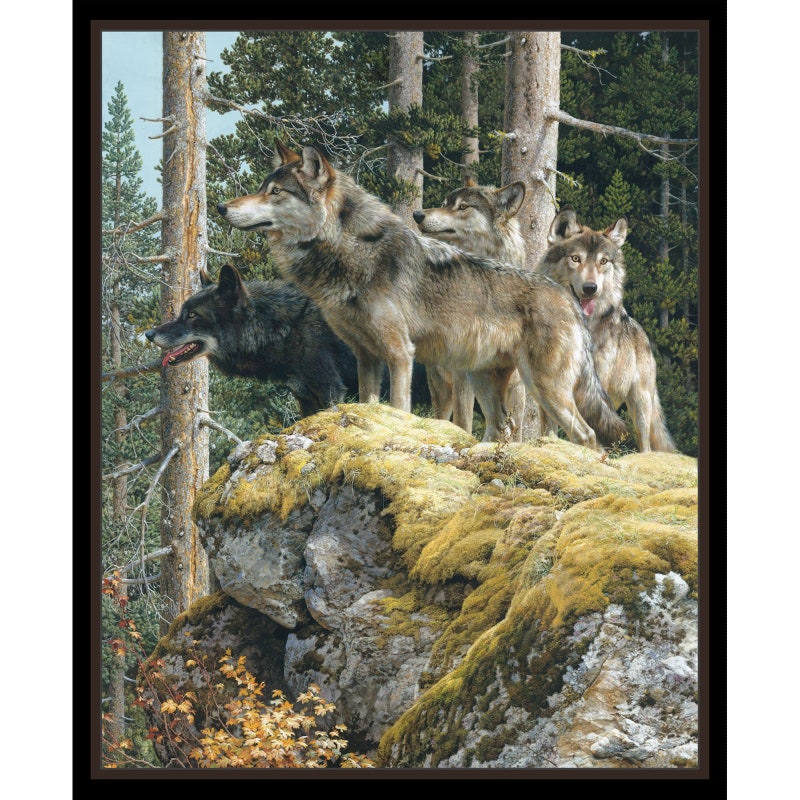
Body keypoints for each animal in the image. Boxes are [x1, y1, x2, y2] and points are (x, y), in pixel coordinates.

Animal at [413, 180, 528, 441]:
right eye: (445, 203)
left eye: (463, 207)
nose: (417, 214)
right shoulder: (463, 376)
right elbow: (463, 423)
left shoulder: (517, 383)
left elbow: (515, 432)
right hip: (442, 386)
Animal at [537, 207, 676, 453]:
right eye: (575, 258)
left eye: (603, 261)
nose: (590, 288)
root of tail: (641, 332)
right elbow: (549, 427)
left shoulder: (593, 385)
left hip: (640, 405)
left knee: (645, 444)